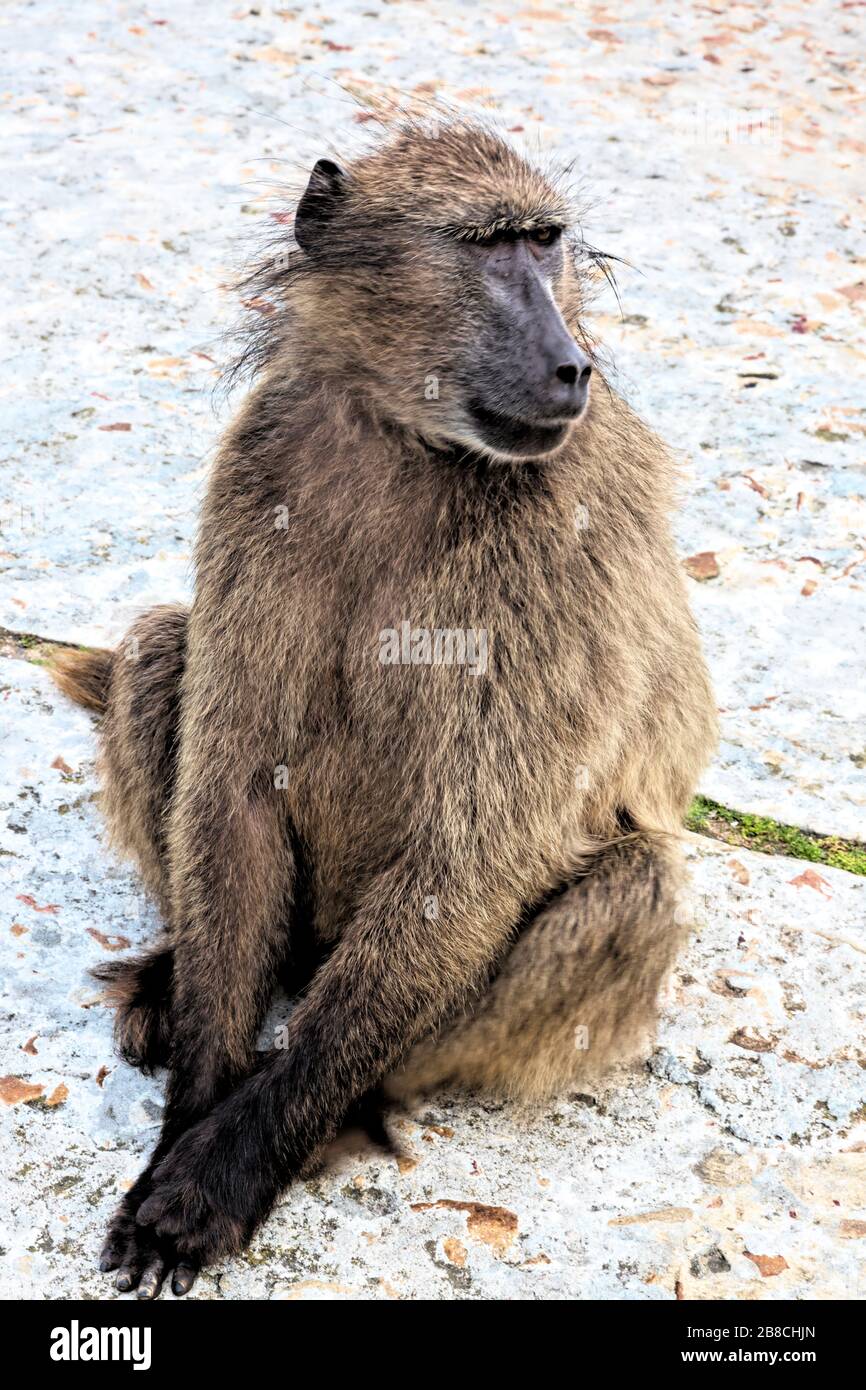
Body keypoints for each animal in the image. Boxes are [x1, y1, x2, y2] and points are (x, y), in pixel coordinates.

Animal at [52, 117, 717, 1299]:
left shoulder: (565, 543)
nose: (571, 367)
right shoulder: (257, 466)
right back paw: (175, 980)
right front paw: (186, 1112)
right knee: (161, 652)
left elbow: (469, 859)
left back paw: (345, 1111)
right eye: (488, 246)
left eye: (545, 243)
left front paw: (216, 1173)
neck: (404, 441)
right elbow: (232, 789)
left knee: (631, 882)